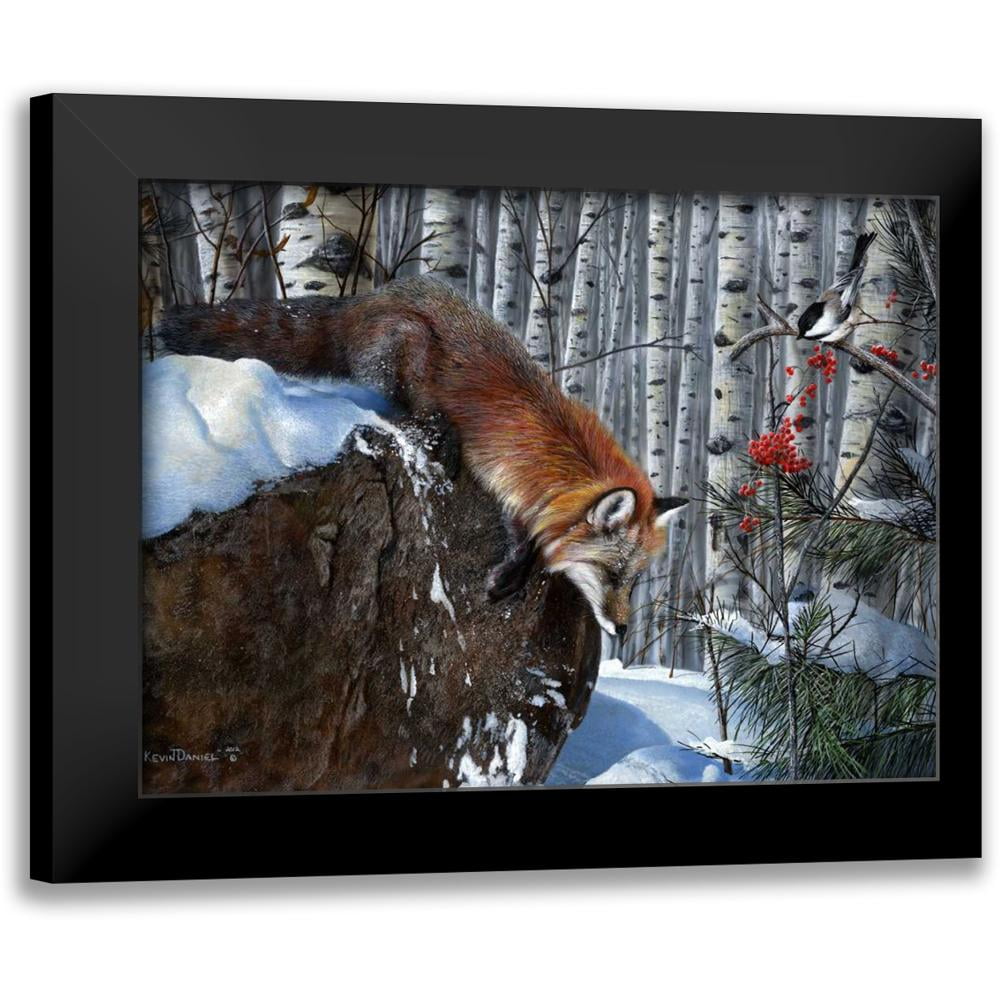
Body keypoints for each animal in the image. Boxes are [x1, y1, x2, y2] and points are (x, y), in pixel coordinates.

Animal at [155, 276, 688, 638]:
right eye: (612, 574)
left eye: (635, 581)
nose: (622, 630)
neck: (559, 456)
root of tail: (371, 296)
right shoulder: (506, 480)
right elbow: (524, 539)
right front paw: (512, 574)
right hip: (405, 344)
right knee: (397, 400)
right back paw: (432, 425)